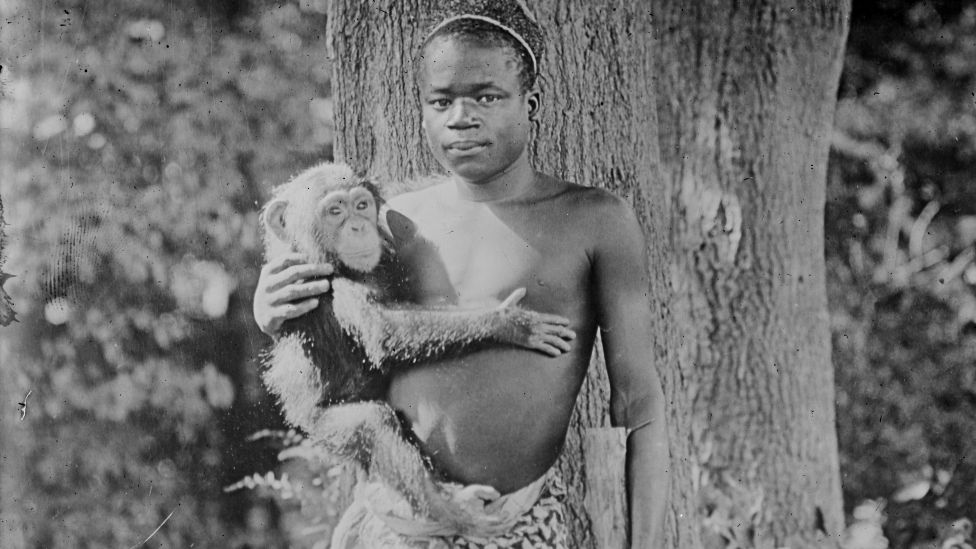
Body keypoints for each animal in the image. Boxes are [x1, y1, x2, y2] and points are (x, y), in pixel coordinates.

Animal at [259, 162, 576, 517]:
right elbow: (381, 330)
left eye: (361, 205)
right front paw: (510, 321)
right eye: (335, 211)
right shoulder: (331, 284)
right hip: (322, 427)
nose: (357, 226)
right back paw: (452, 510)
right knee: (373, 424)